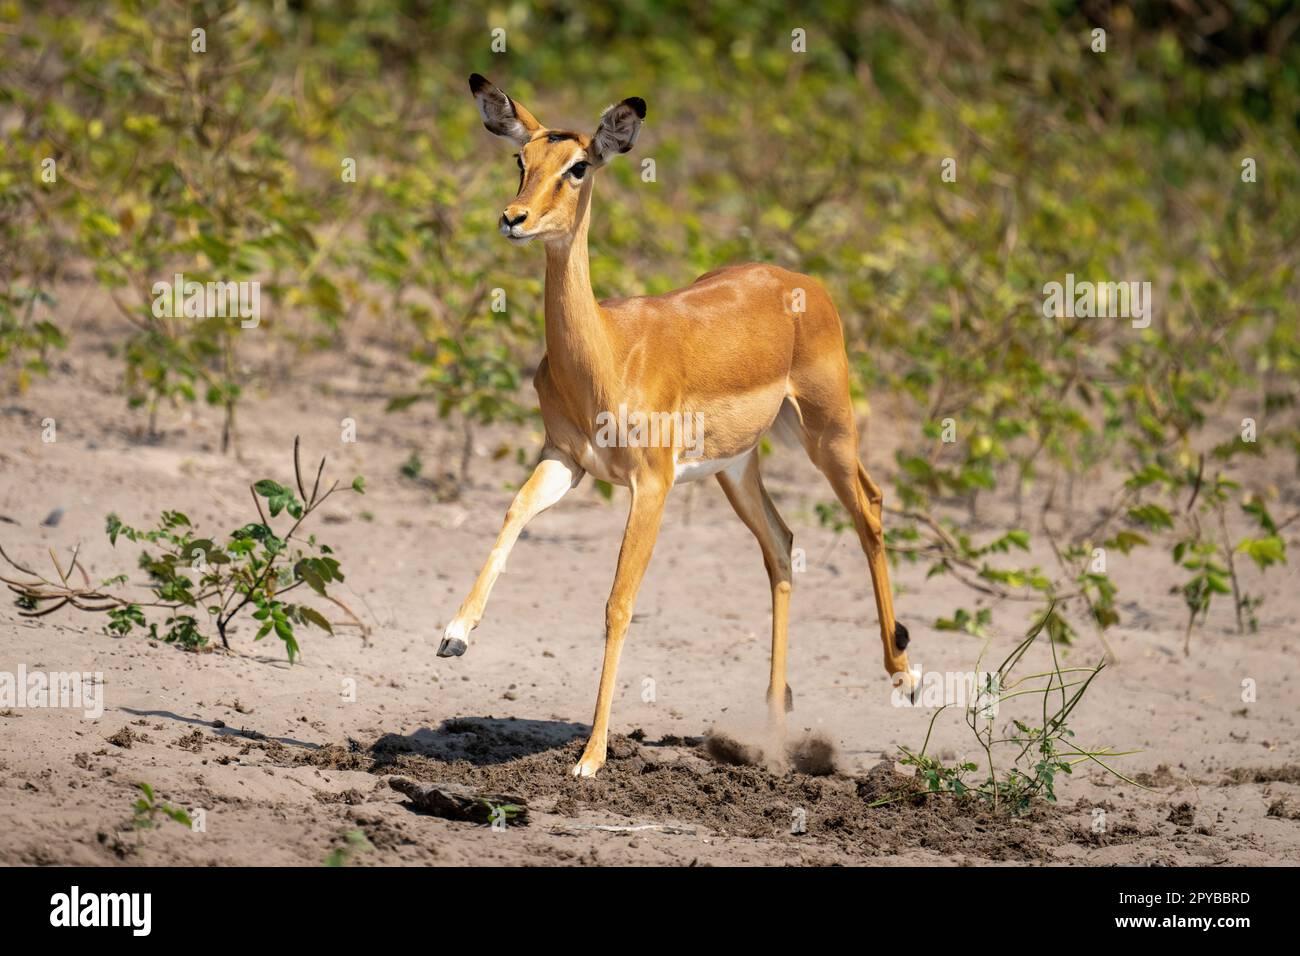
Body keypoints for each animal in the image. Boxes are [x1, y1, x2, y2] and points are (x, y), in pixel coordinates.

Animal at [438, 75, 919, 777]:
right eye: (520, 160)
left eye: (578, 166)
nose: (514, 218)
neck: (607, 354)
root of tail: (803, 281)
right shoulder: (566, 459)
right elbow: (514, 512)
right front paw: (453, 635)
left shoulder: (652, 484)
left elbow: (618, 602)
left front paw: (591, 758)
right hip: (737, 467)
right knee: (780, 543)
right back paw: (773, 735)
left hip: (827, 431)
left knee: (871, 507)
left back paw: (904, 675)